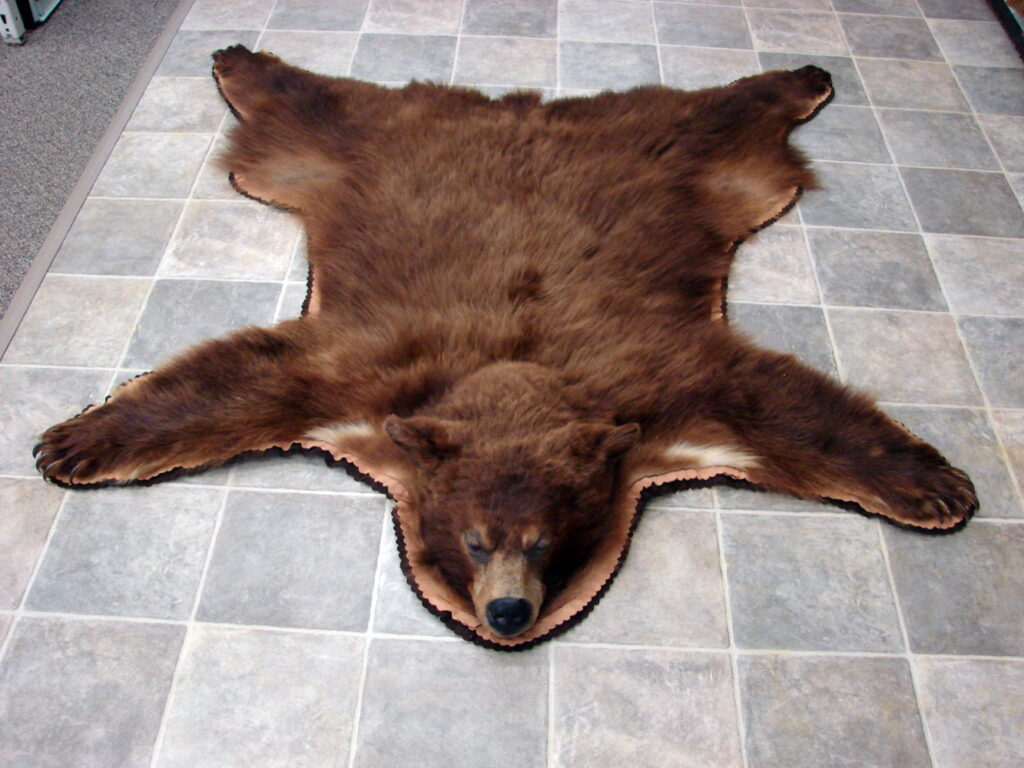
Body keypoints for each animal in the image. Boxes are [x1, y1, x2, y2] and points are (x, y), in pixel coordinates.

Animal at [34, 46, 977, 645]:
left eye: (547, 541)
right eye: (478, 541)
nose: (509, 617)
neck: (518, 371)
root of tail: (526, 104)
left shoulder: (659, 384)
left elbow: (777, 401)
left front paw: (936, 486)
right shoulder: (368, 371)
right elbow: (254, 377)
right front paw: (73, 441)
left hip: (689, 156)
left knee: (725, 108)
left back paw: (804, 74)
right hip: (356, 146)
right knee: (310, 105)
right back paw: (238, 56)